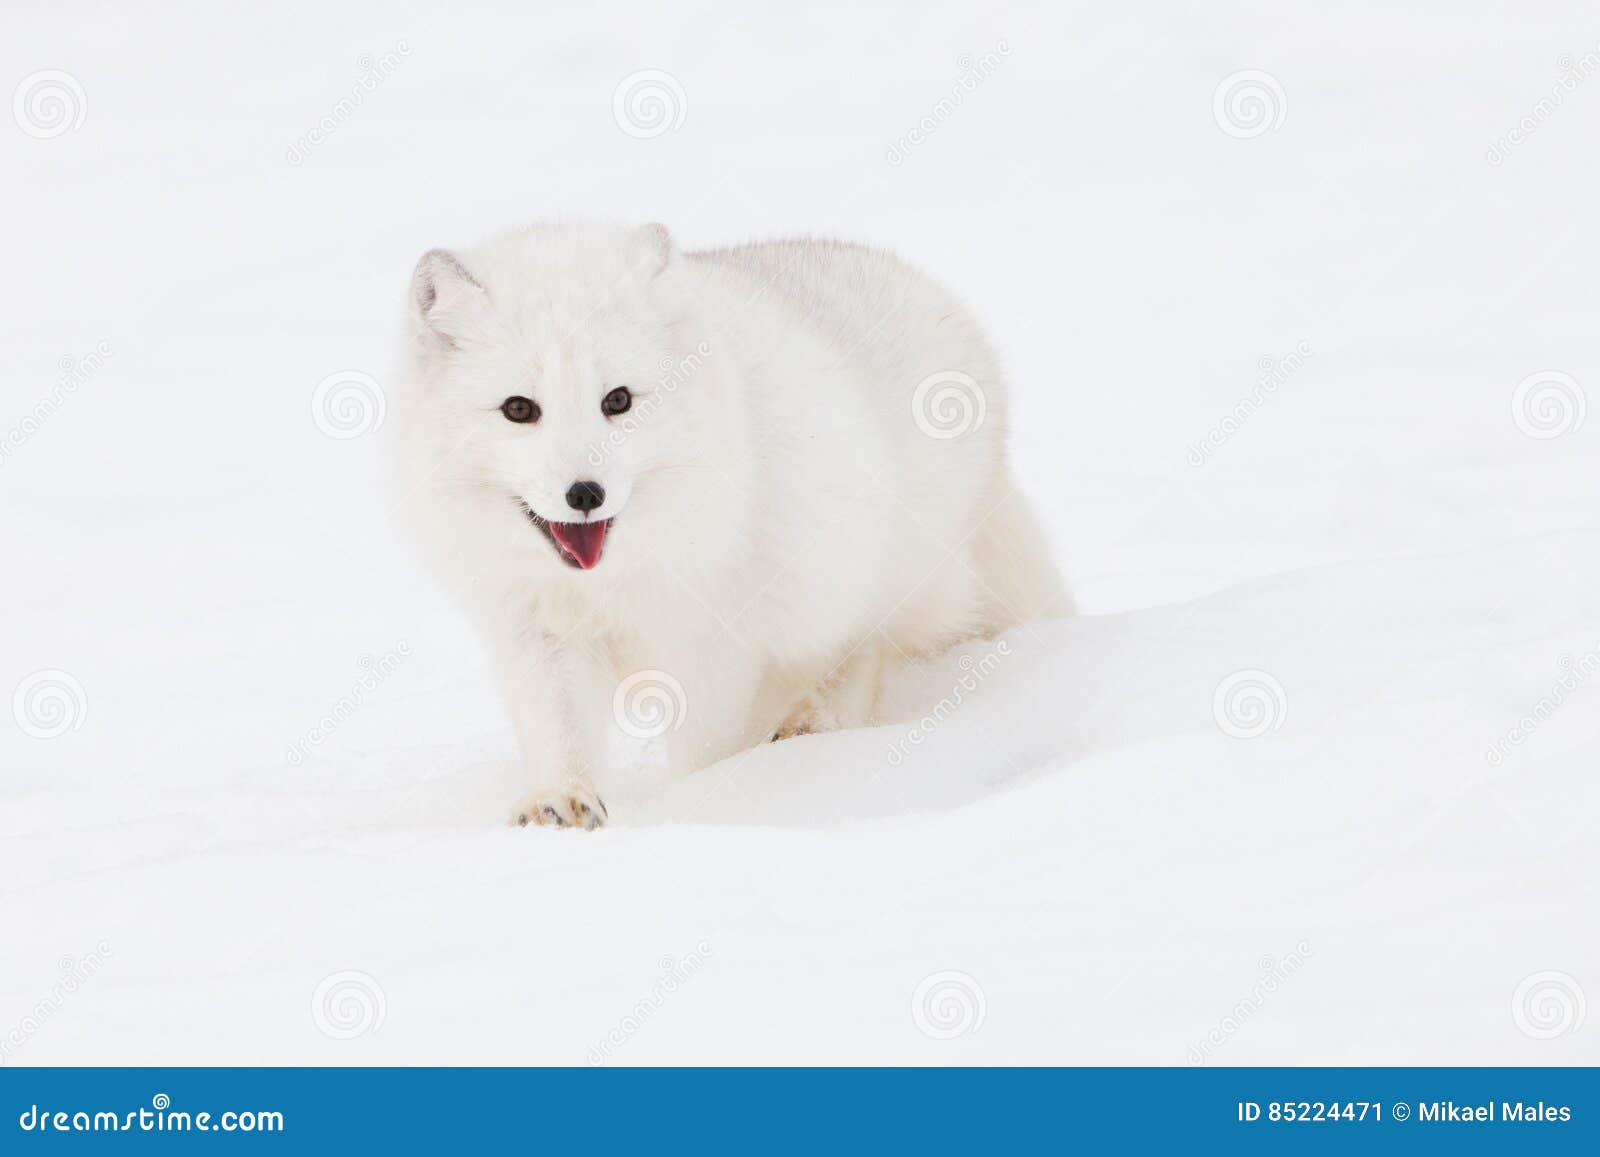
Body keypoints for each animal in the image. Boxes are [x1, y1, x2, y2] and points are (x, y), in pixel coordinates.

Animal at [389, 222, 1069, 829]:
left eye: (618, 401)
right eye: (518, 409)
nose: (585, 494)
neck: (614, 581)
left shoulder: (715, 649)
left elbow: (705, 752)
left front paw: (702, 808)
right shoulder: (540, 633)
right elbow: (560, 731)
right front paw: (561, 802)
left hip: (878, 575)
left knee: (865, 648)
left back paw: (814, 727)